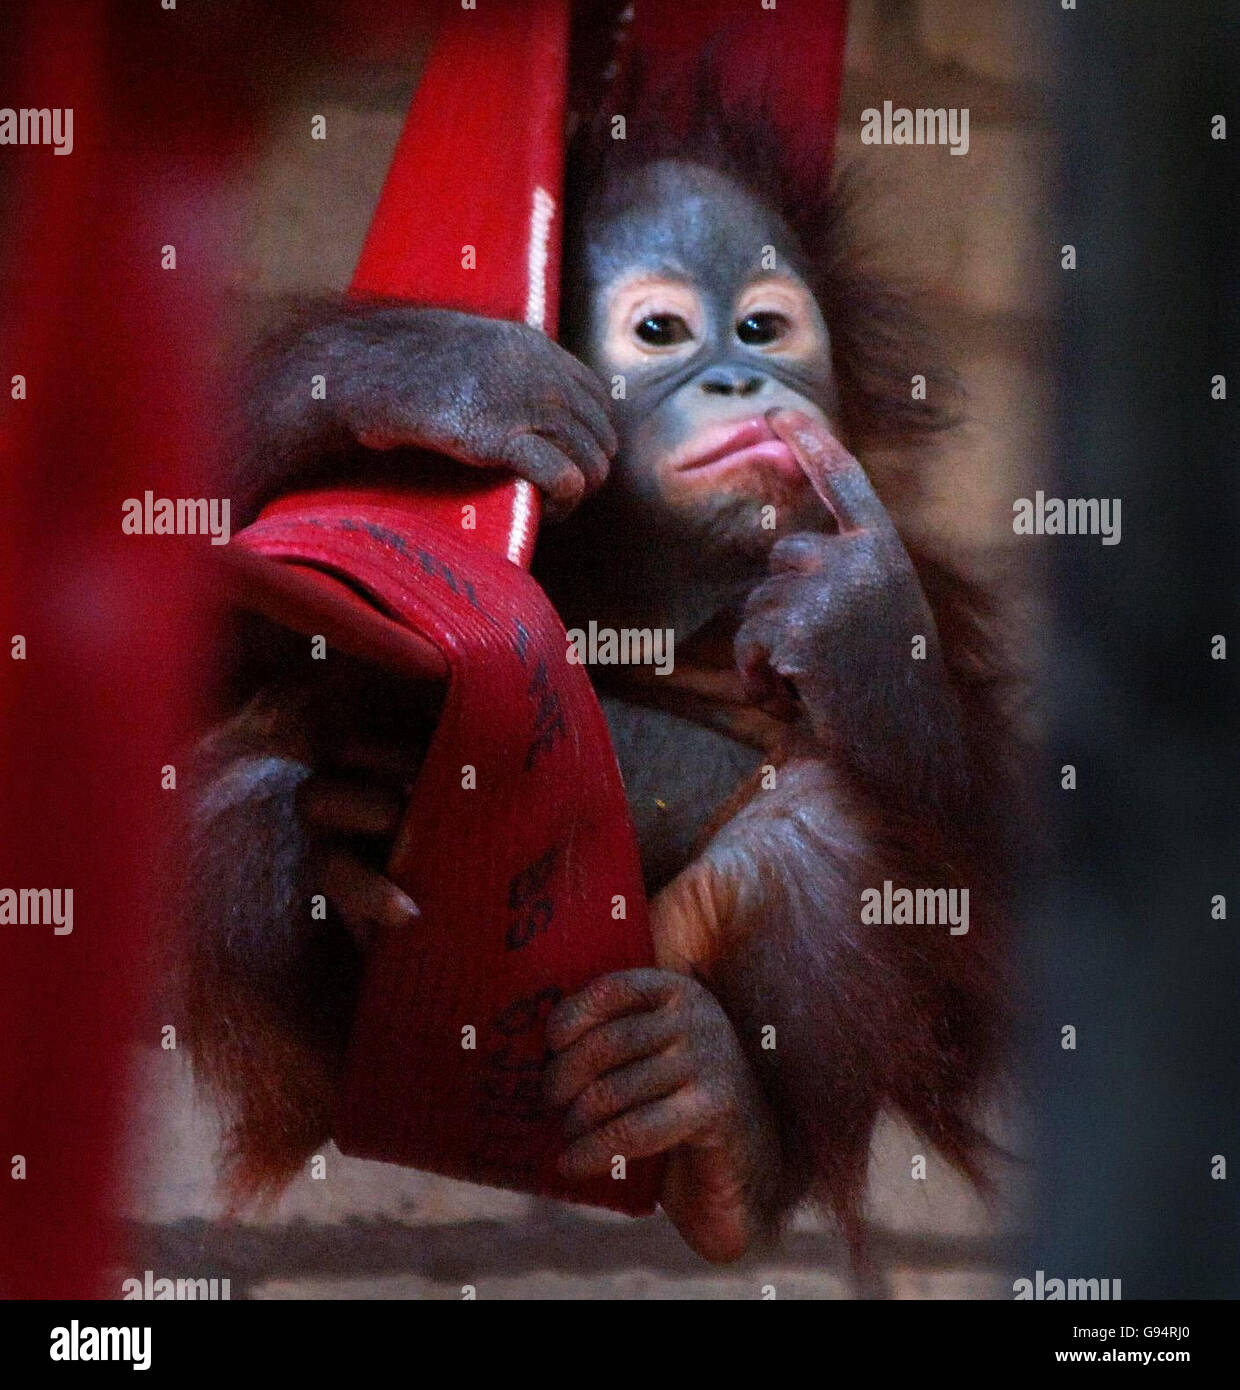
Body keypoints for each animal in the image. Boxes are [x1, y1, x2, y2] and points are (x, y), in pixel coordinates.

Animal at [181, 93, 1016, 1264]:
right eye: (660, 332)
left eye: (764, 328)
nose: (738, 378)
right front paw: (438, 374)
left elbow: (991, 917)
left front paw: (856, 613)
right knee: (246, 804)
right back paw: (343, 857)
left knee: (809, 832)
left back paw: (714, 1129)